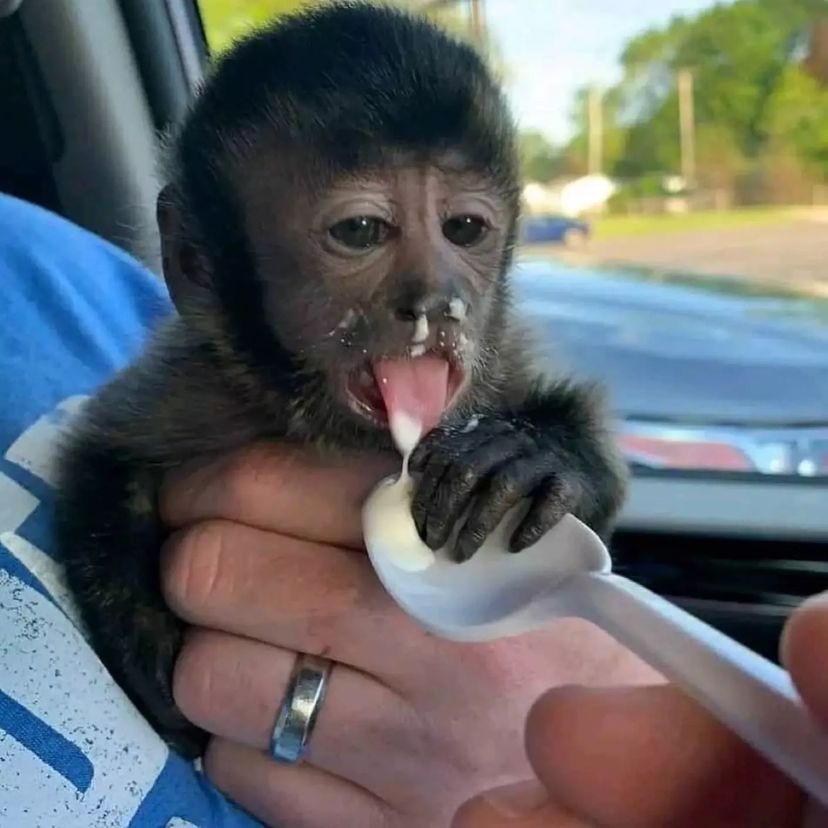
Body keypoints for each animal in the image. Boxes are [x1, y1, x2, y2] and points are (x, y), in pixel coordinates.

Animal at [55, 1, 628, 758]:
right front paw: (143, 645)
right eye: (361, 231)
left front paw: (538, 453)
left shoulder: (499, 359)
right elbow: (100, 453)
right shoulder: (192, 382)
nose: (440, 299)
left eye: (464, 228)